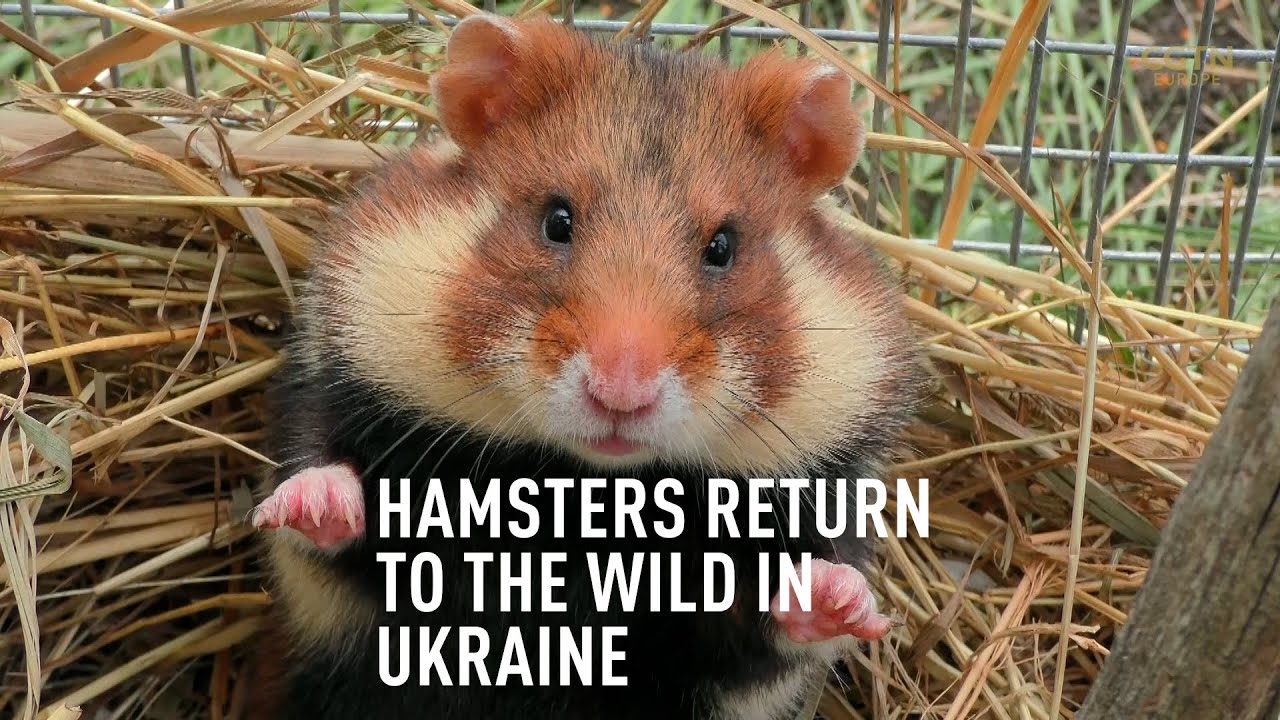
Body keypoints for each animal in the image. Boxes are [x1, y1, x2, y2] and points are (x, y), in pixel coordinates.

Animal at [246, 12, 920, 720]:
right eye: (556, 220)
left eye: (723, 247)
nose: (621, 396)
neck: (588, 492)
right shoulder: (333, 376)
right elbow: (321, 478)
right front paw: (313, 504)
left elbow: (780, 610)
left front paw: (844, 601)